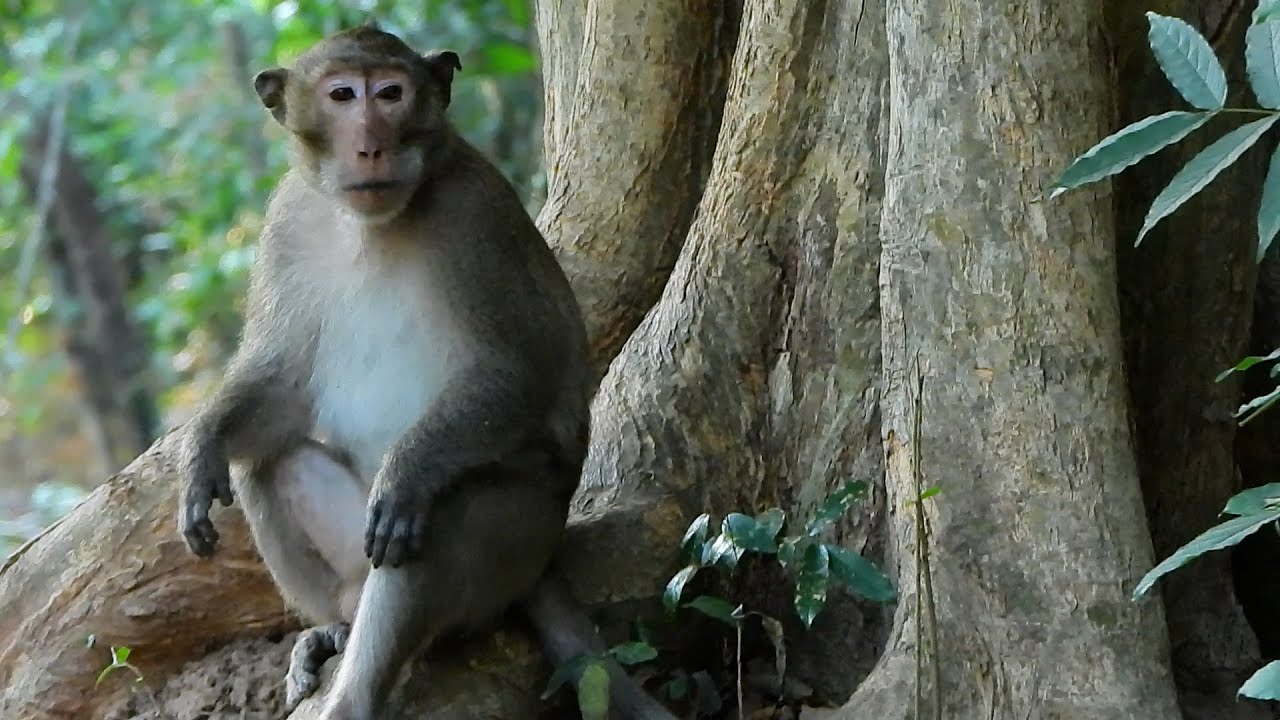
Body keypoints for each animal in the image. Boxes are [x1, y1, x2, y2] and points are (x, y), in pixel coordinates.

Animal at [175, 22, 676, 720]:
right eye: (341, 95)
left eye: (391, 94)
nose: (370, 145)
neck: (371, 224)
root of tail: (541, 566)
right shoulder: (288, 221)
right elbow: (281, 386)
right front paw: (203, 452)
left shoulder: (474, 216)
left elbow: (513, 371)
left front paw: (408, 472)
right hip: (359, 547)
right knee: (269, 462)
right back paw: (338, 624)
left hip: (515, 543)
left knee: (432, 521)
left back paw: (355, 691)